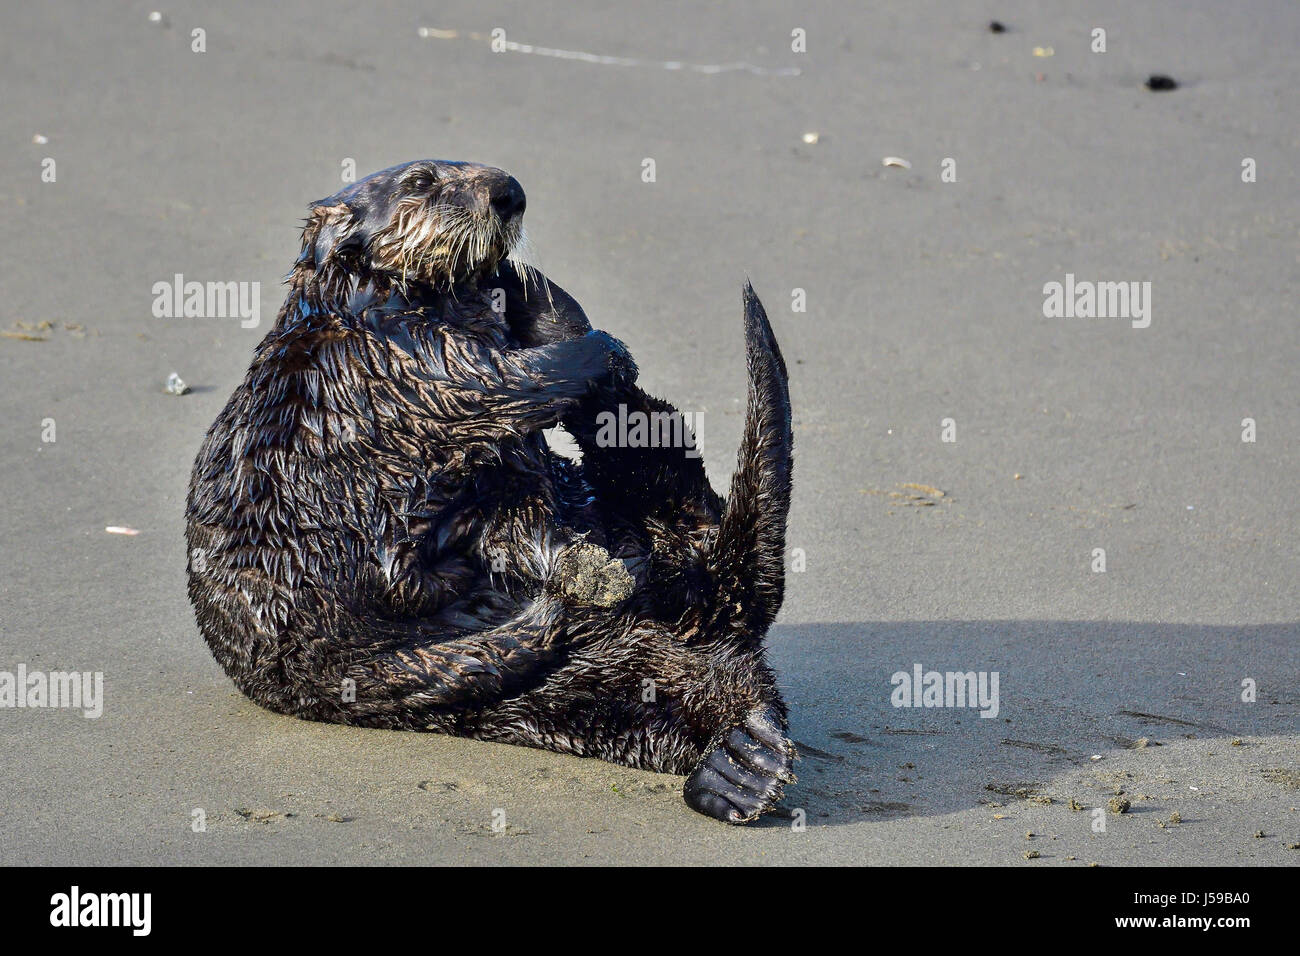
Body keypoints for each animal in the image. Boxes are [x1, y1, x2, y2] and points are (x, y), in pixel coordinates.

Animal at [186, 160, 796, 823]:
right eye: (422, 180)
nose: (508, 193)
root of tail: (699, 599)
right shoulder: (406, 355)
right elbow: (496, 381)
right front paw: (601, 346)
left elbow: (515, 476)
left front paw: (519, 287)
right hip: (476, 678)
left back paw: (739, 756)